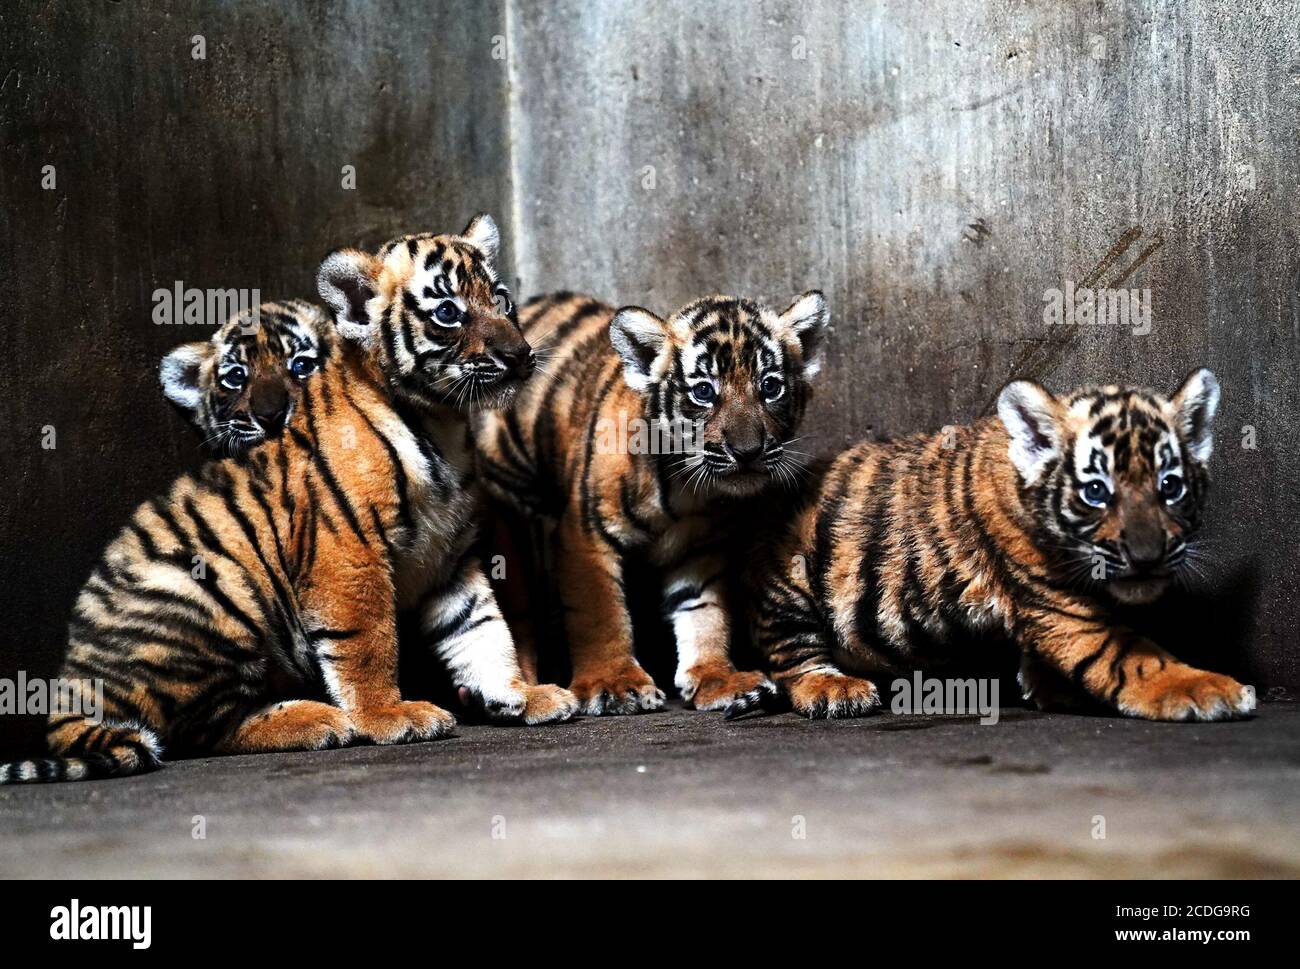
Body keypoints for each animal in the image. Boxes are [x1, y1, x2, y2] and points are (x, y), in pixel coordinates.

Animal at [474, 290, 830, 715]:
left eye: (771, 387)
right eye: (704, 391)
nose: (747, 452)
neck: (685, 487)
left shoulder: (699, 550)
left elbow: (705, 614)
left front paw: (717, 678)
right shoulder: (586, 535)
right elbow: (600, 615)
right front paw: (614, 685)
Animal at [740, 369, 1257, 722]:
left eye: (1170, 487)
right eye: (1096, 492)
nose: (1147, 558)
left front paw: (1045, 686)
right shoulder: (1064, 610)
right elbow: (1137, 660)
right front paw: (1213, 689)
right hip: (792, 586)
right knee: (791, 657)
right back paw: (834, 691)